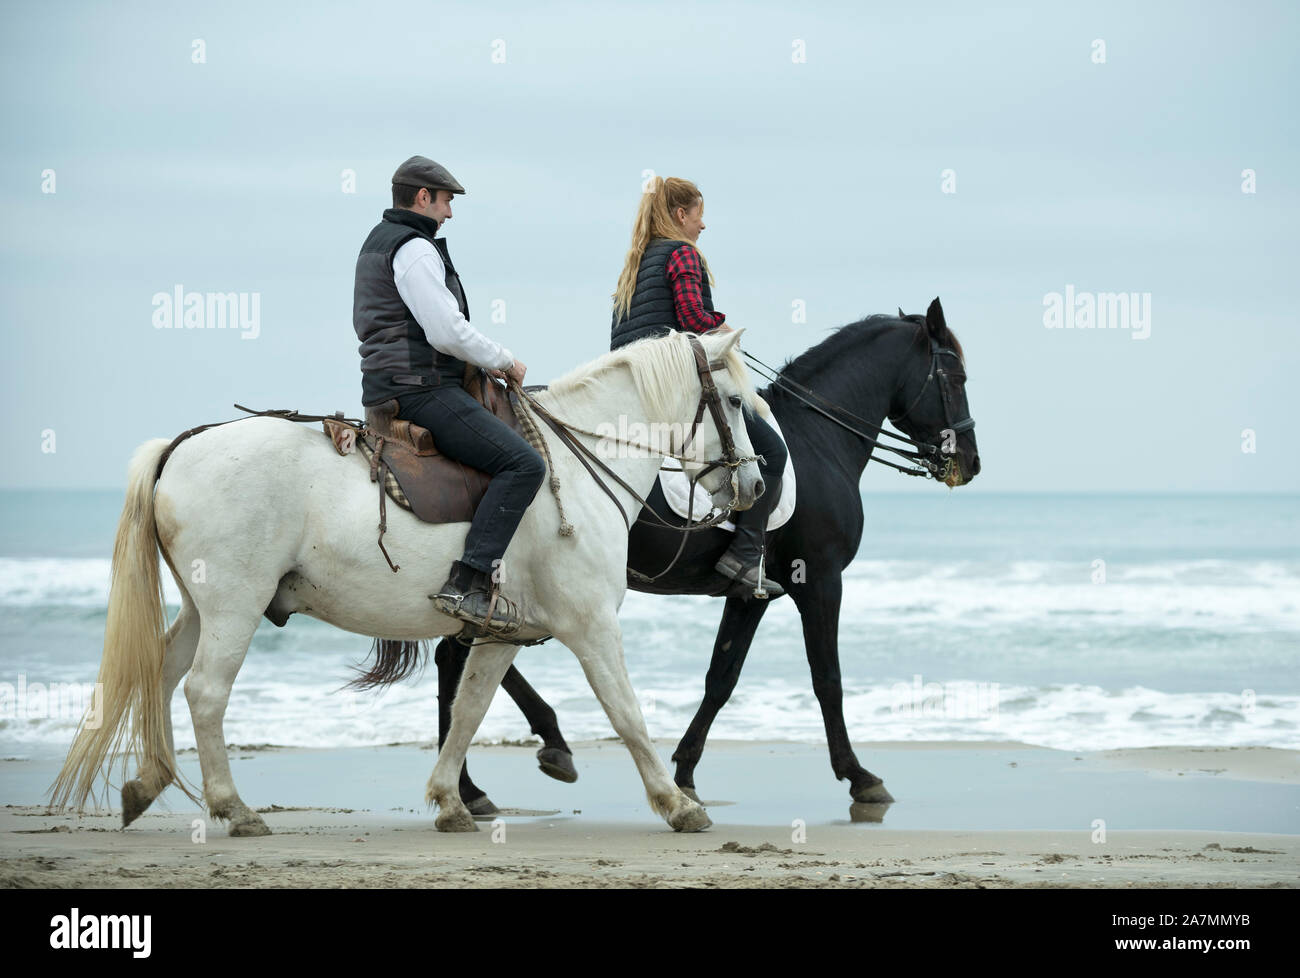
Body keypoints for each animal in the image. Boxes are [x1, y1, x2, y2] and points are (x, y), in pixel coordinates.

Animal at [49, 328, 762, 835]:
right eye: (732, 402)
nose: (755, 487)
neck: (577, 464)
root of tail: (182, 446)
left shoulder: (499, 633)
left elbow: (469, 710)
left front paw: (450, 801)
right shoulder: (591, 626)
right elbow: (627, 713)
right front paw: (676, 804)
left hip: (202, 609)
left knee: (160, 673)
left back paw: (147, 783)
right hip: (234, 606)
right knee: (204, 691)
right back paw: (235, 809)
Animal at [436, 299, 979, 810]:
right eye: (957, 376)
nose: (970, 462)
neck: (818, 441)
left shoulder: (752, 593)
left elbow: (722, 677)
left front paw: (684, 772)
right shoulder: (821, 580)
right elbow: (827, 678)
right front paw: (859, 777)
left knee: (457, 659)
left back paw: (482, 781)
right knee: (458, 659)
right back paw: (509, 766)